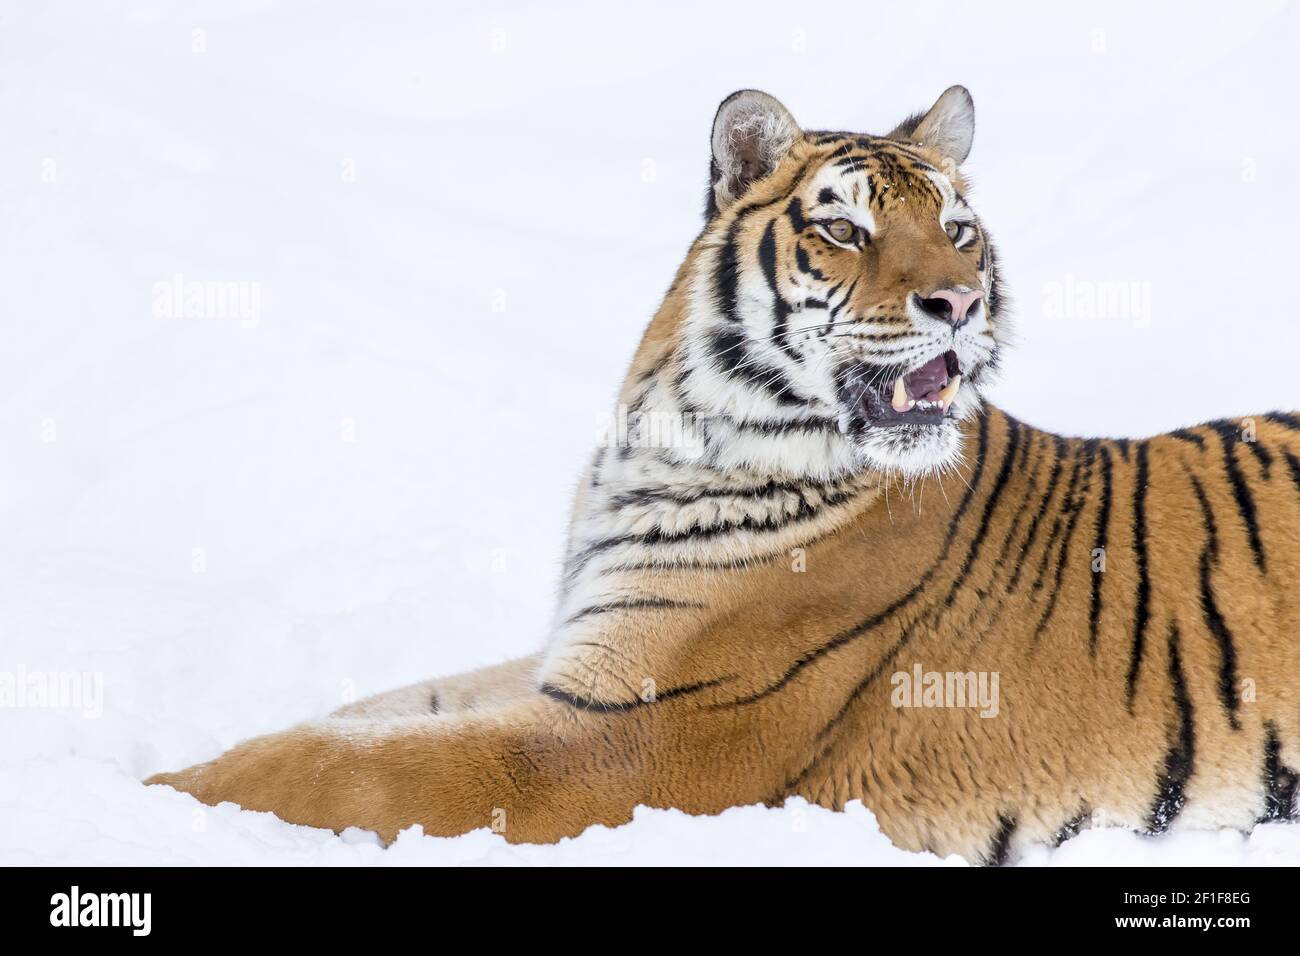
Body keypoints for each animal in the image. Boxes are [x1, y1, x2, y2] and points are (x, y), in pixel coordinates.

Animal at [147, 86, 1300, 865]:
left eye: (958, 230)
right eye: (843, 228)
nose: (962, 303)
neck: (675, 439)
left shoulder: (629, 740)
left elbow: (354, 768)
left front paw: (160, 786)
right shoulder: (579, 660)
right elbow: (378, 712)